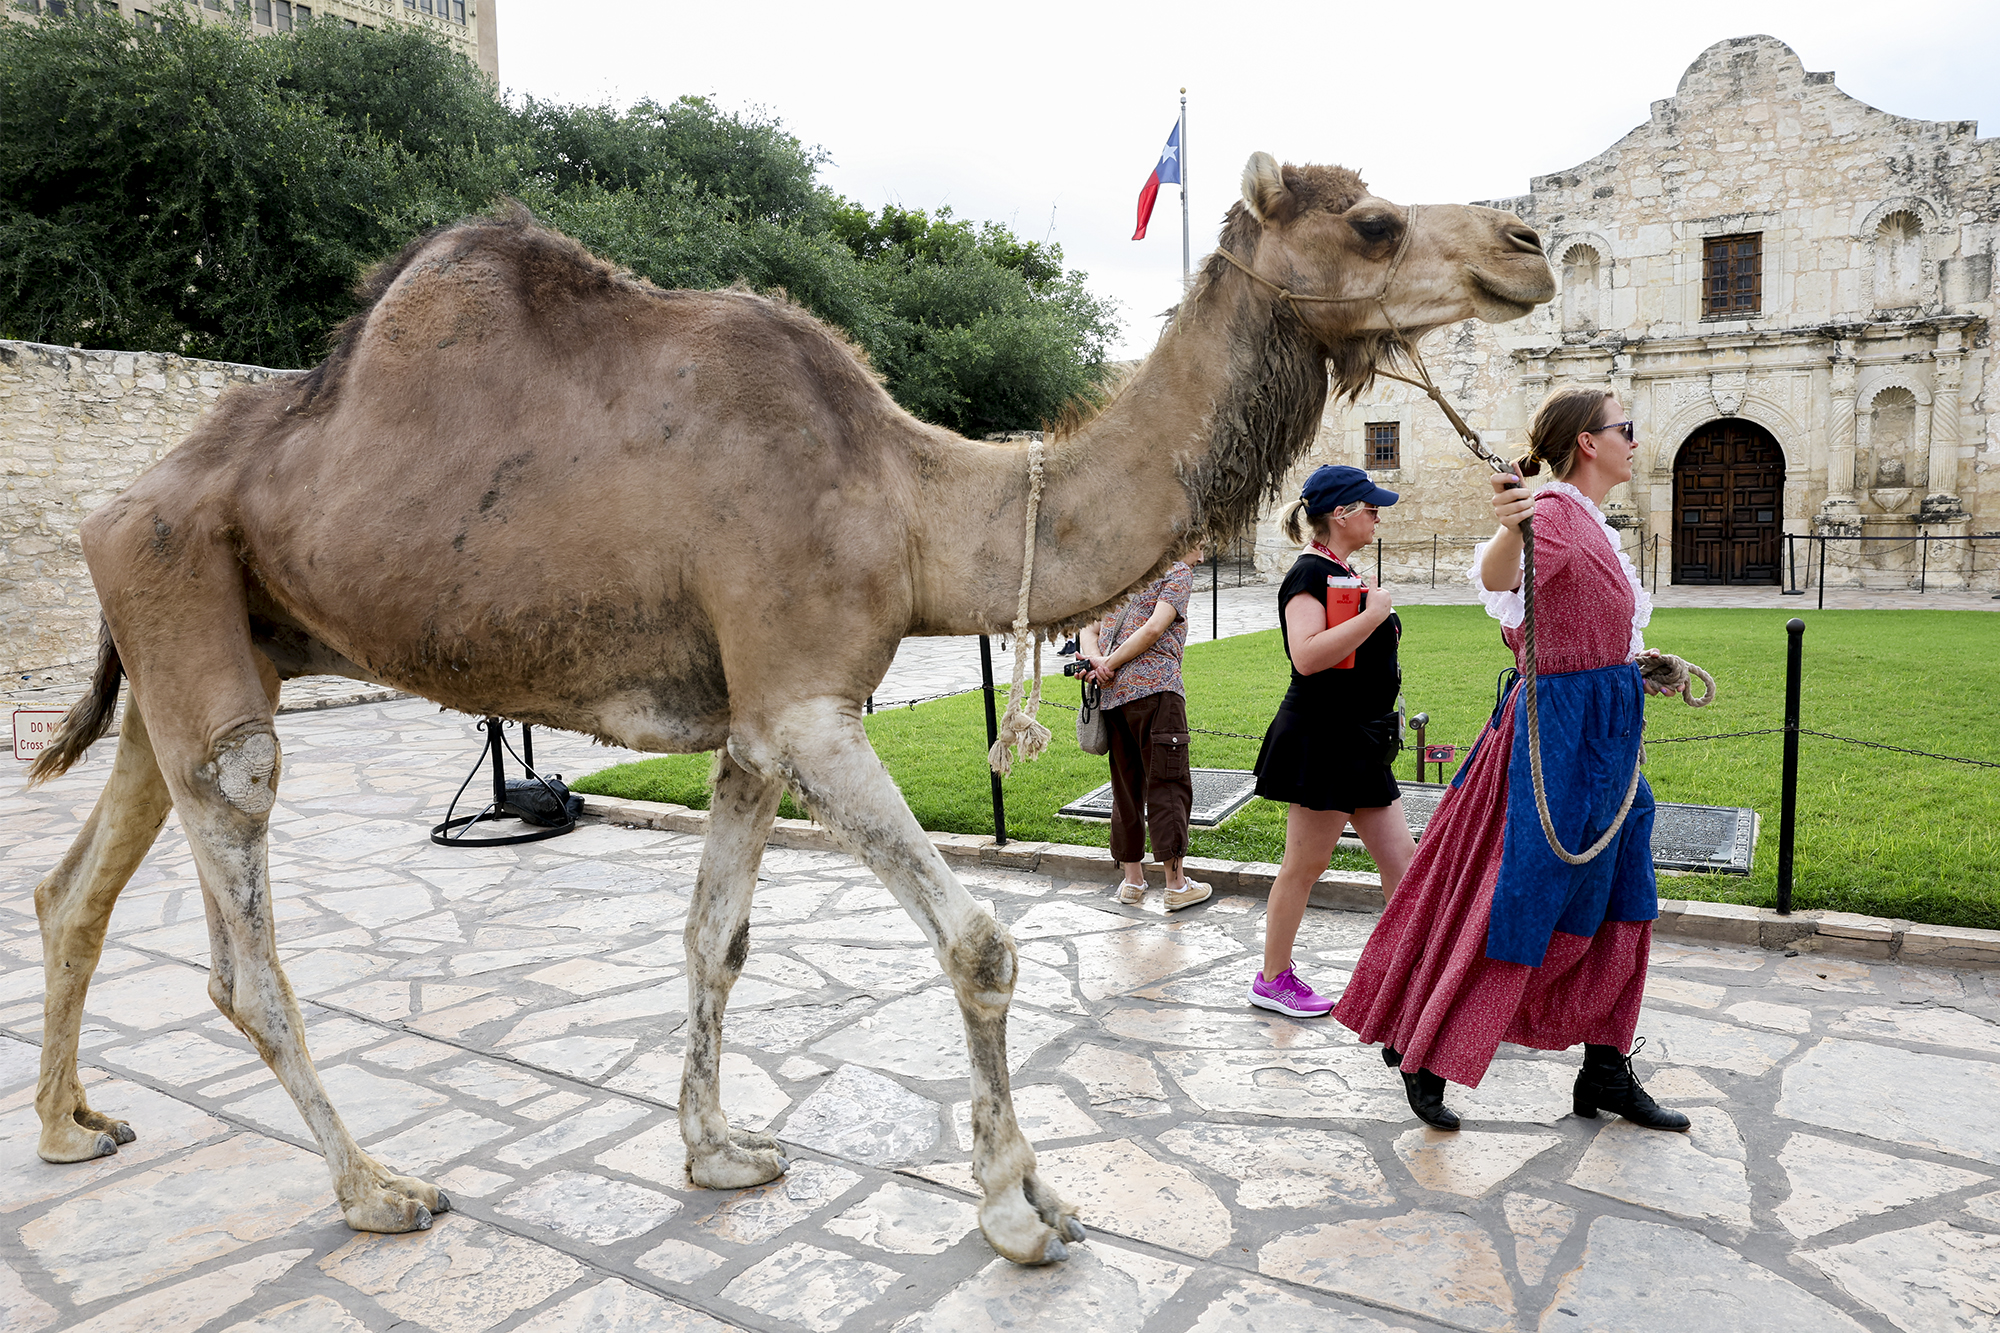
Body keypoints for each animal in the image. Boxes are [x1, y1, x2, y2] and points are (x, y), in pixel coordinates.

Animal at [26, 152, 1552, 1265]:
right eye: (1373, 219)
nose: (1528, 244)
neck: (915, 500)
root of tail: (120, 504)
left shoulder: (757, 726)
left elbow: (719, 939)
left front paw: (718, 1152)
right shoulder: (813, 703)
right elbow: (983, 944)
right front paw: (1021, 1208)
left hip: (197, 644)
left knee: (76, 885)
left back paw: (69, 1127)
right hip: (191, 618)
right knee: (239, 937)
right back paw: (377, 1189)